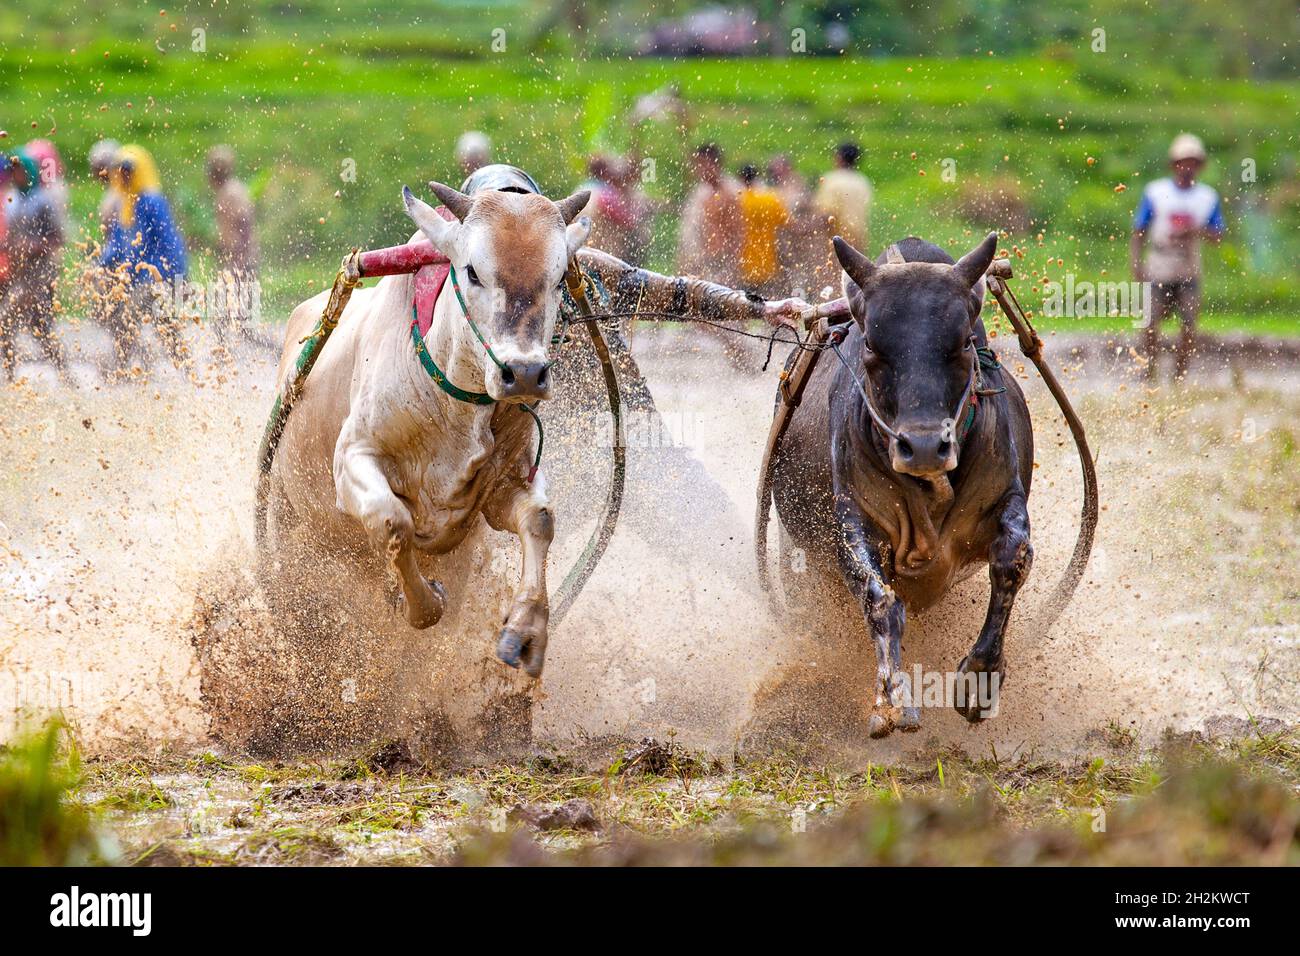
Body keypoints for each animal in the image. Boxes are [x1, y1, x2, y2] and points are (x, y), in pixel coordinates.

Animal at [265, 165, 804, 681]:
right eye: (473, 271)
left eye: (557, 275)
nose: (523, 373)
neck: (455, 400)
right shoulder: (354, 457)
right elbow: (393, 521)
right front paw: (422, 603)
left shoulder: (502, 488)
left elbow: (539, 520)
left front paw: (524, 632)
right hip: (292, 540)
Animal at [769, 232, 1034, 738]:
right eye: (872, 345)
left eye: (963, 344)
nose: (926, 447)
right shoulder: (853, 522)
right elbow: (880, 599)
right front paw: (891, 701)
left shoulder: (1006, 496)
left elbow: (1012, 562)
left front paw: (979, 680)